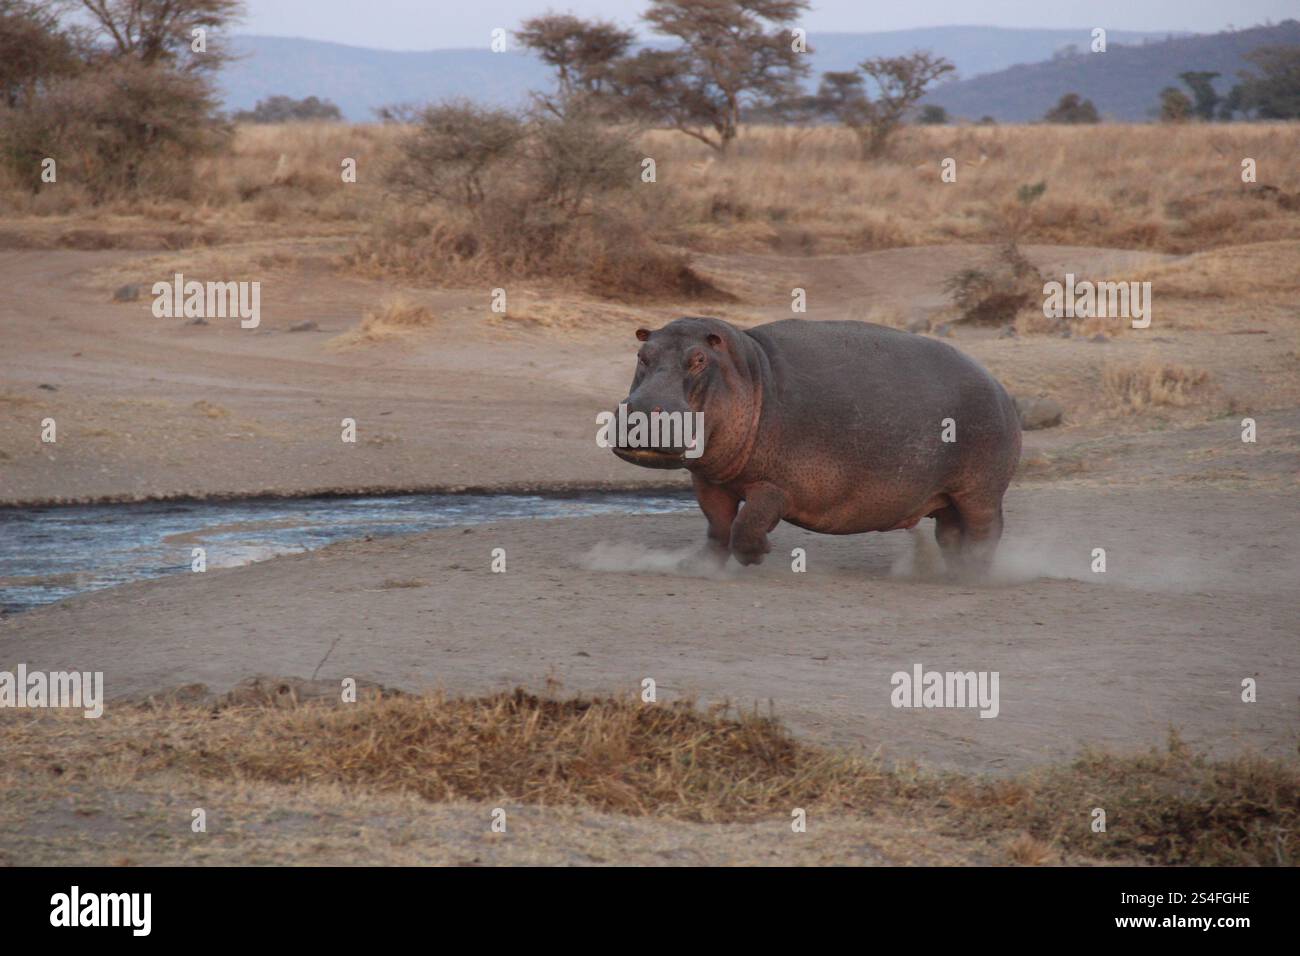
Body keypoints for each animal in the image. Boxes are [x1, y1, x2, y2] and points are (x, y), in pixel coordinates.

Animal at [611, 317, 1021, 577]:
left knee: (986, 531)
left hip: (979, 491)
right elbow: (717, 526)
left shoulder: (776, 485)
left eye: (698, 359)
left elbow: (746, 523)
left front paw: (756, 556)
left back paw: (975, 573)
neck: (748, 375)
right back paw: (954, 569)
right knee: (951, 534)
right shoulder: (709, 481)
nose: (643, 408)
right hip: (945, 496)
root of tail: (999, 385)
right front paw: (697, 567)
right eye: (642, 355)